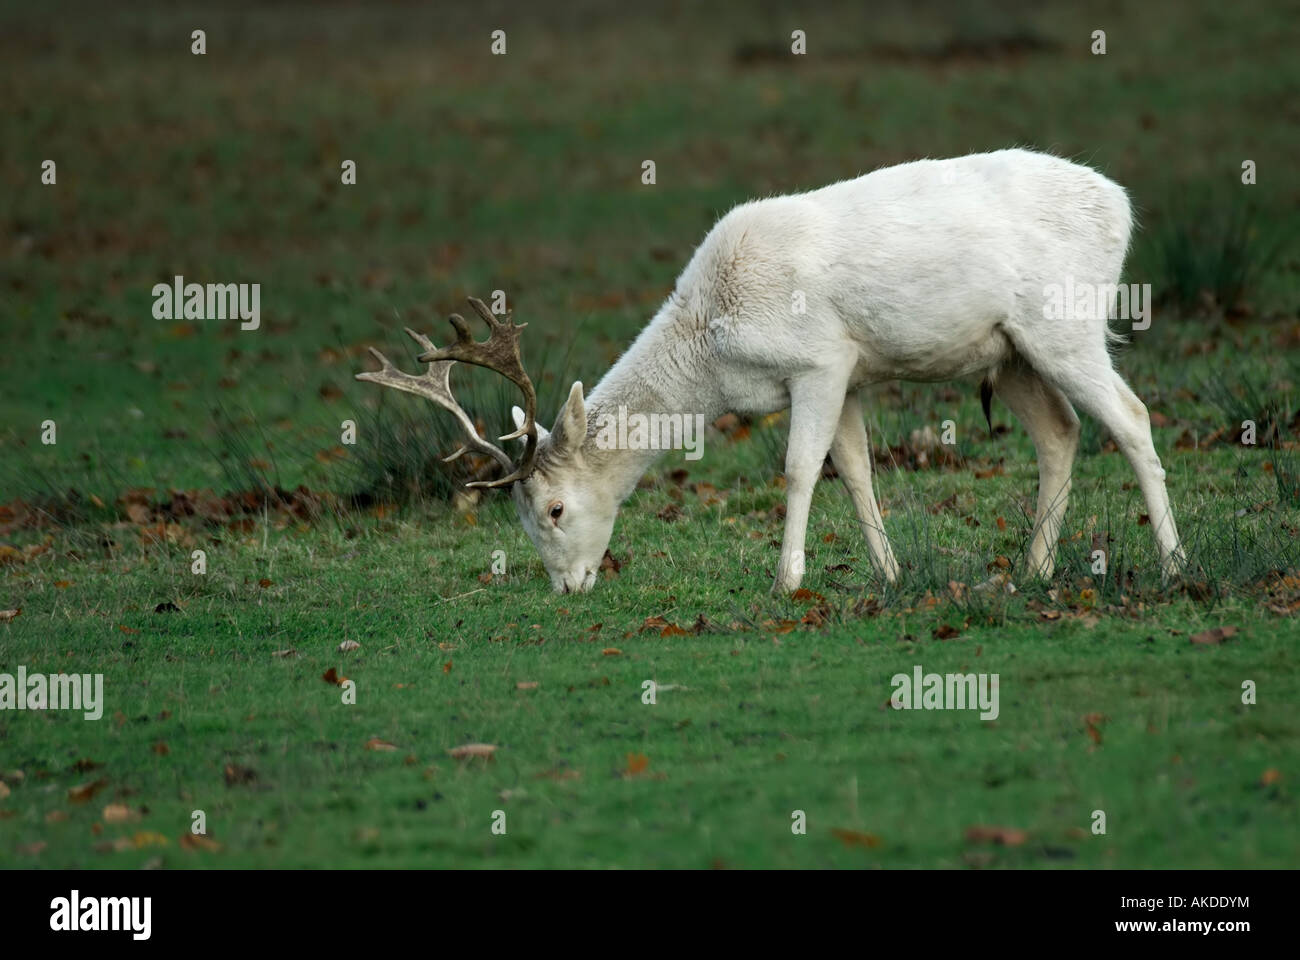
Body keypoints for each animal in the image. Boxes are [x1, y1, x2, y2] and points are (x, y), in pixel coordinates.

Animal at [358, 148, 1186, 594]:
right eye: (520, 516)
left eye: (555, 508)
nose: (567, 584)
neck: (715, 353)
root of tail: (1123, 205)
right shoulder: (848, 374)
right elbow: (854, 470)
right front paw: (887, 574)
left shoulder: (818, 359)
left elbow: (797, 468)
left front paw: (786, 580)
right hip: (1006, 352)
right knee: (1061, 430)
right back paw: (1036, 568)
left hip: (1064, 322)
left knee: (1131, 416)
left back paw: (1175, 565)